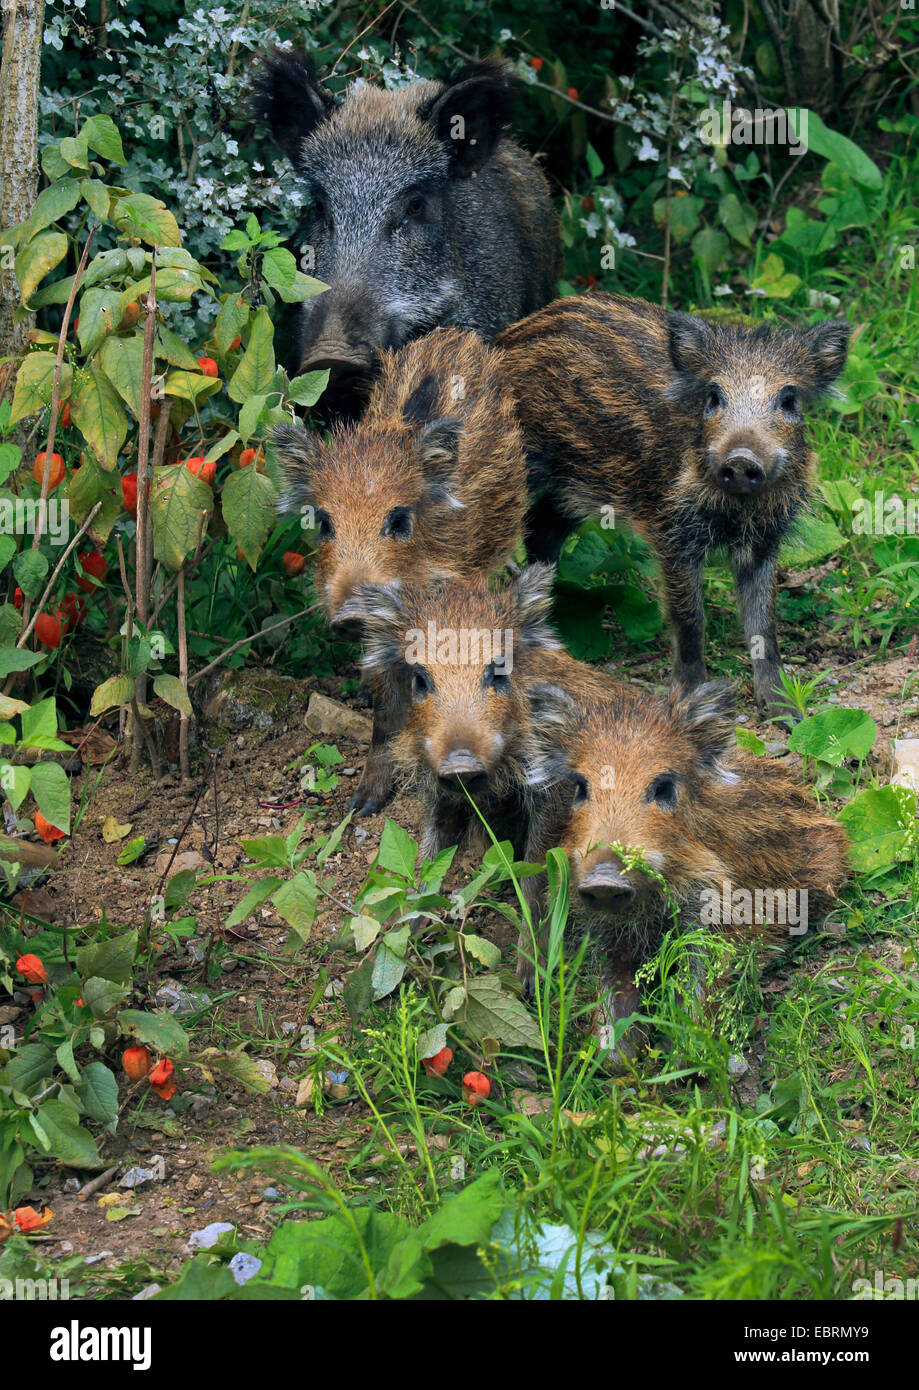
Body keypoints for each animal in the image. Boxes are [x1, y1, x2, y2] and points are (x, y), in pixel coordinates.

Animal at [272, 327, 529, 815]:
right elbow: (385, 716)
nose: (351, 614)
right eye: (324, 522)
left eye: (399, 519)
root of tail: (458, 336)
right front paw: (363, 805)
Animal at [496, 293, 850, 716]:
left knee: (542, 528)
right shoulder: (672, 533)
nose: (741, 459)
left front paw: (785, 712)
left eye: (789, 399)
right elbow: (689, 618)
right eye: (713, 396)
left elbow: (764, 621)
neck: (737, 511)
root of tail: (508, 337)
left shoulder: (765, 540)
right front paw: (688, 700)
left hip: (574, 487)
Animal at [522, 677, 849, 1060]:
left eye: (664, 787)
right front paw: (611, 1058)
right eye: (579, 787)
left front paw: (685, 1054)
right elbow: (612, 1011)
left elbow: (698, 997)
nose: (604, 881)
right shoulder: (607, 933)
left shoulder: (716, 916)